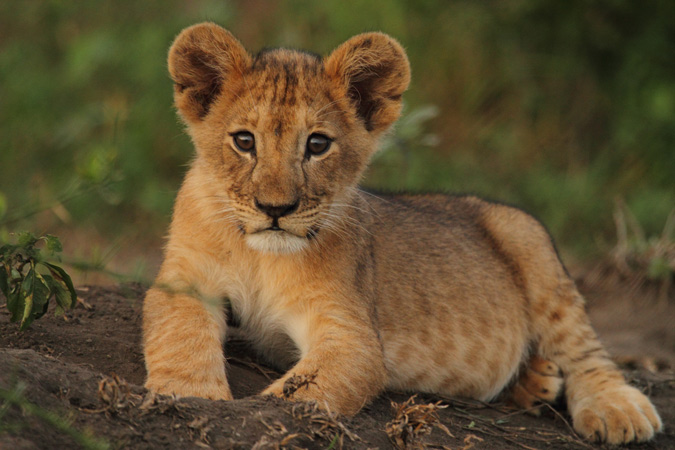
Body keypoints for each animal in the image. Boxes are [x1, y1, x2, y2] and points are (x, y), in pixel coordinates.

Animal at [142, 23, 662, 444]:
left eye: (317, 144)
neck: (261, 254)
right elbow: (181, 335)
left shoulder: (350, 331)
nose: (275, 209)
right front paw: (191, 396)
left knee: (586, 350)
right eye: (244, 141)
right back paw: (537, 382)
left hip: (531, 243)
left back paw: (617, 410)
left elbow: (303, 392)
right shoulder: (185, 281)